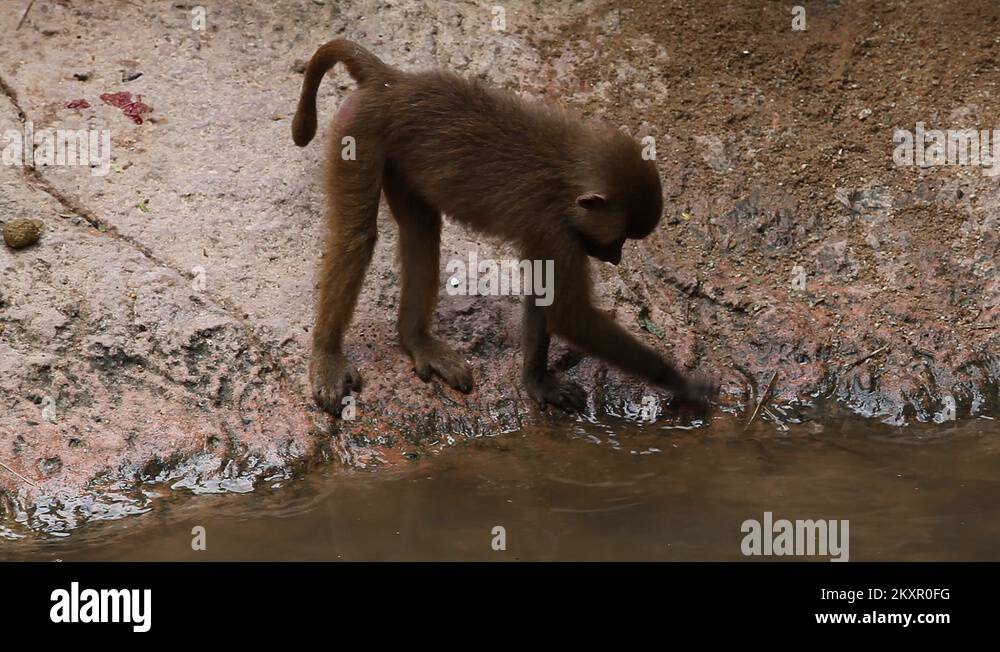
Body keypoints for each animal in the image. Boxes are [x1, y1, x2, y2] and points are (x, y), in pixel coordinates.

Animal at [293, 39, 717, 417]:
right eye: (621, 238)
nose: (615, 258)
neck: (567, 178)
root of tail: (392, 81)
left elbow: (544, 295)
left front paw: (537, 381)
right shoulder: (555, 230)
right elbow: (569, 313)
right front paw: (682, 382)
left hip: (398, 155)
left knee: (421, 234)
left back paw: (417, 341)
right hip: (360, 131)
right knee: (356, 239)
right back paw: (327, 354)